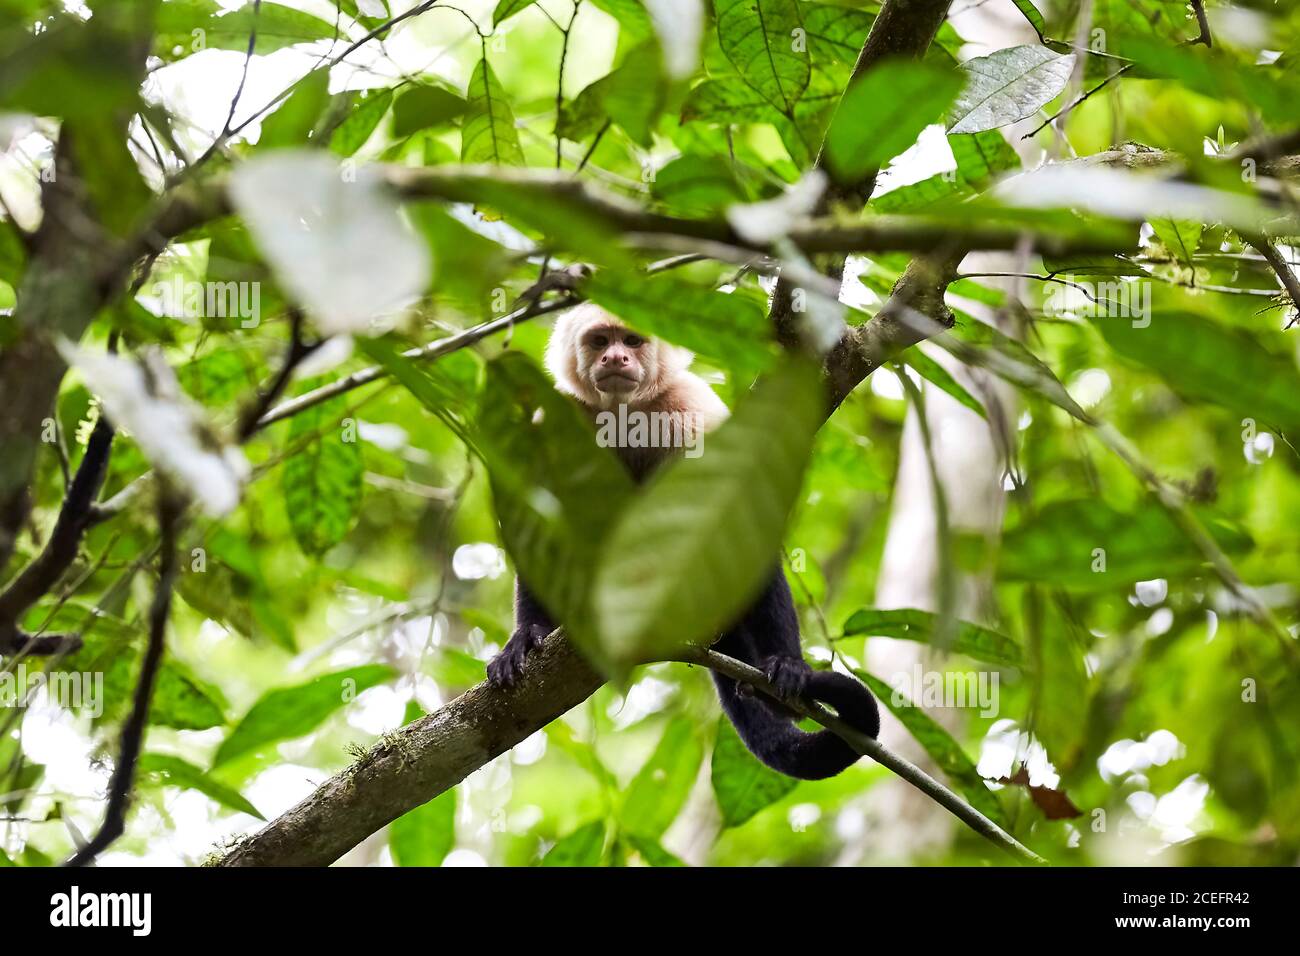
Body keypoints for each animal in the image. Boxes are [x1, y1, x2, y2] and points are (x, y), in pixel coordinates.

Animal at [486, 303, 880, 780]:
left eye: (632, 340)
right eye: (599, 341)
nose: (615, 358)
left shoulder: (689, 407)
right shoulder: (556, 416)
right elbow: (542, 528)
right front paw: (526, 637)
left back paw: (786, 665)